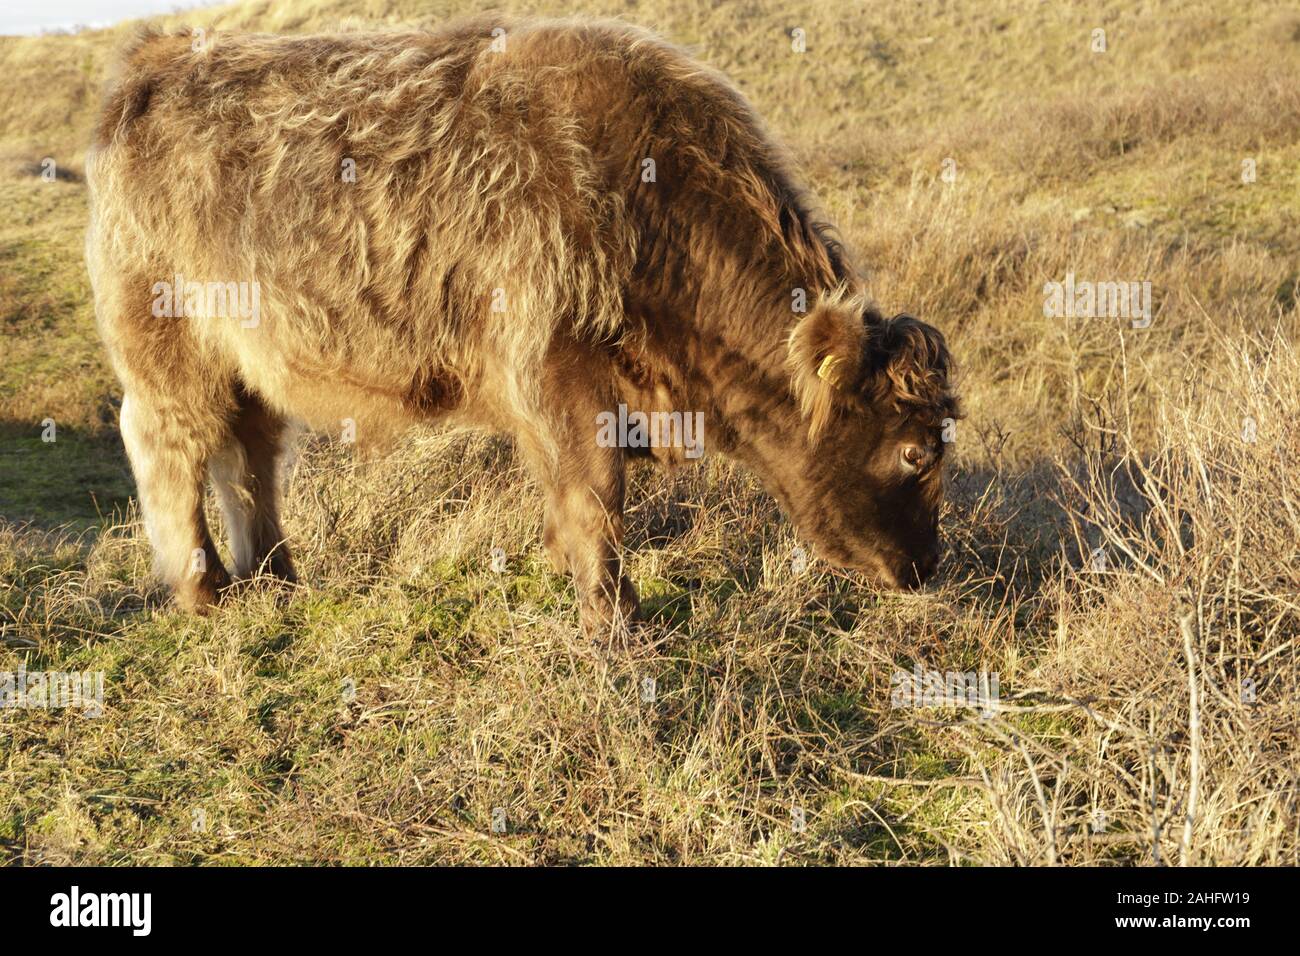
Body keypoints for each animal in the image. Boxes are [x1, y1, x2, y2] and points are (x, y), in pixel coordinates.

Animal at [86, 16, 958, 634]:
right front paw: (616, 625)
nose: (923, 569)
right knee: (170, 446)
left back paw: (275, 578)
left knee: (249, 454)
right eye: (913, 452)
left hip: (249, 362)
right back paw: (203, 589)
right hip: (165, 350)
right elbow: (596, 500)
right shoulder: (558, 378)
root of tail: (158, 59)